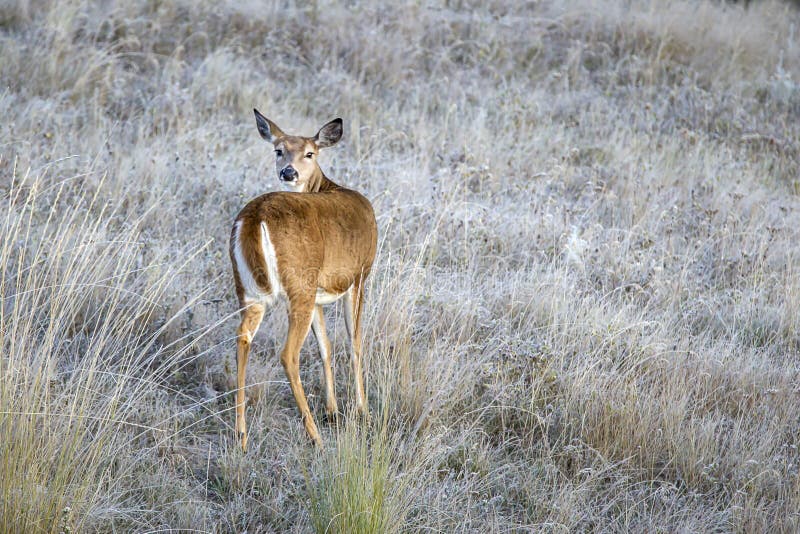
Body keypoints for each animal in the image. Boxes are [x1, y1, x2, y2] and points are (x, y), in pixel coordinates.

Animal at [229, 109, 377, 450]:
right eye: (278, 150)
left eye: (309, 153)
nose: (288, 171)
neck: (327, 187)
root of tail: (255, 218)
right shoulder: (359, 276)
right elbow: (354, 342)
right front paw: (361, 411)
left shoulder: (320, 293)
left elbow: (325, 346)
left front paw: (333, 411)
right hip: (299, 287)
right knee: (289, 354)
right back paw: (315, 436)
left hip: (251, 291)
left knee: (242, 339)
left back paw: (241, 435)